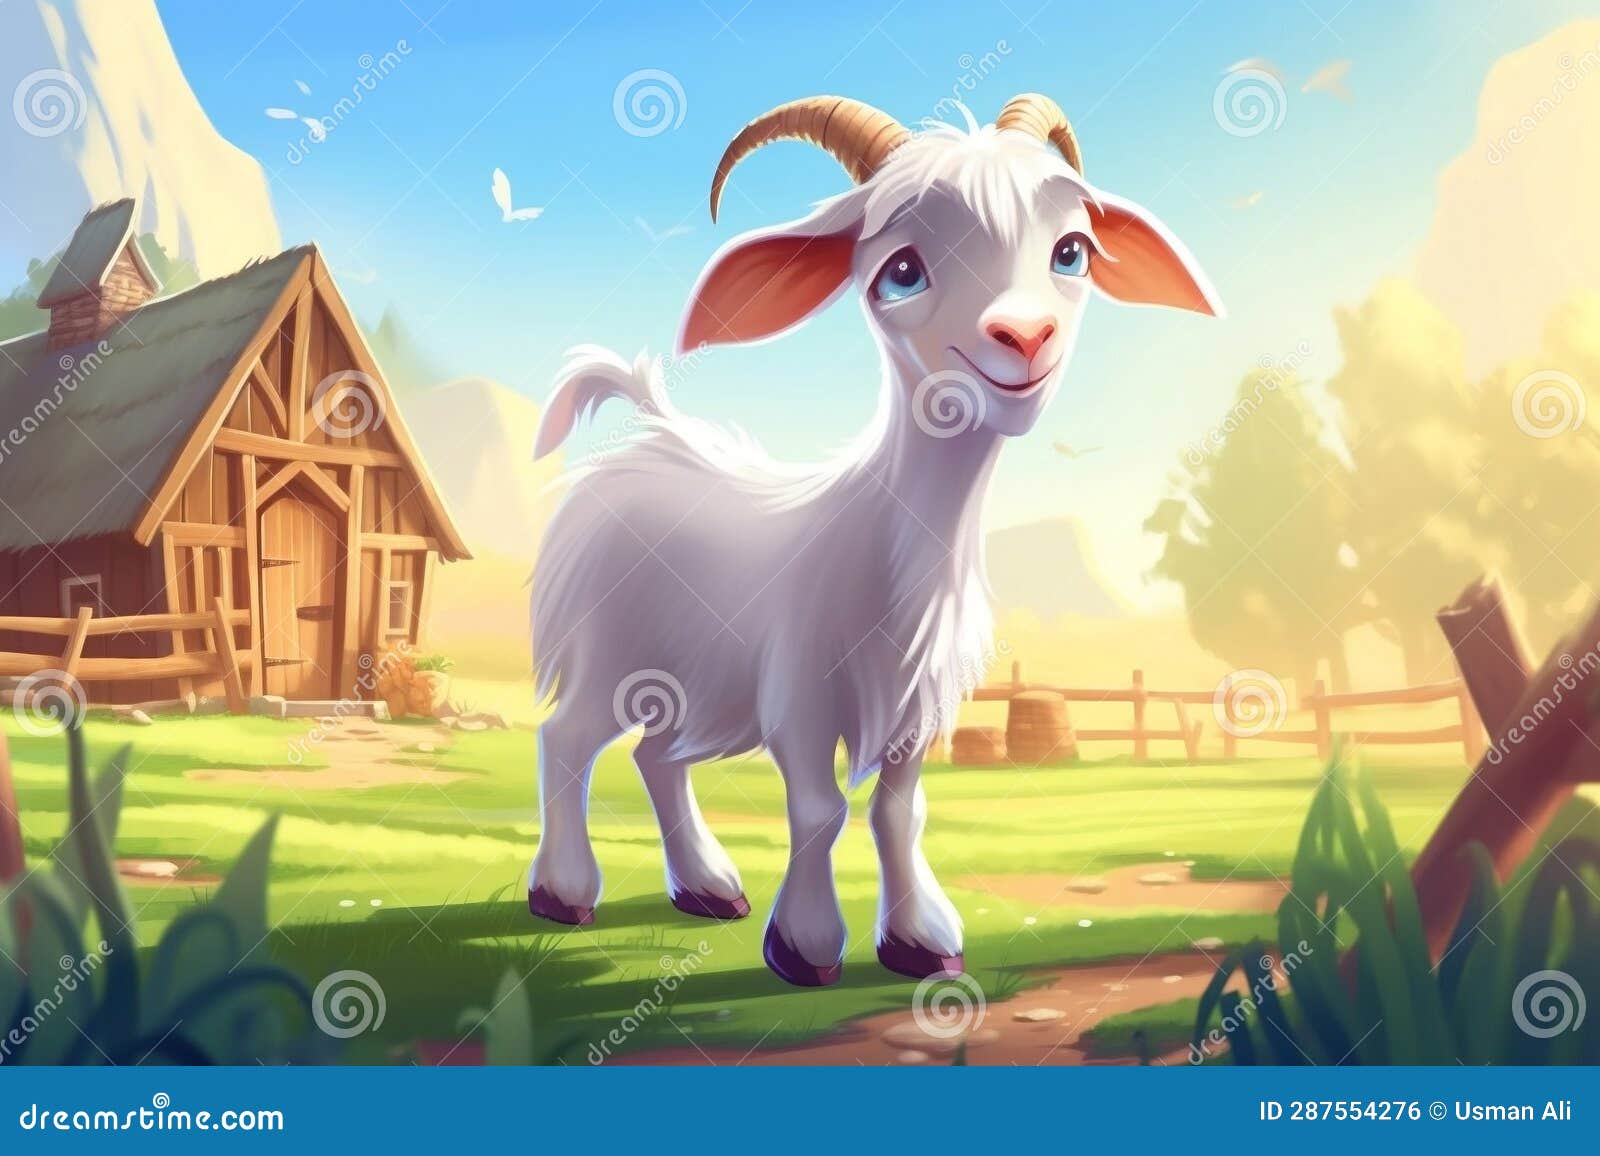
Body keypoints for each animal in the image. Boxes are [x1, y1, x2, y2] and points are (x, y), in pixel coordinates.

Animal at [527, 94, 1221, 986]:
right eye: (902, 270)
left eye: (1071, 253)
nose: (1026, 337)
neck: (885, 538)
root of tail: (652, 431)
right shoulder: (798, 690)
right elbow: (820, 809)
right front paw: (806, 945)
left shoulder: (912, 705)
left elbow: (900, 812)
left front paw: (919, 939)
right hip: (610, 646)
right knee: (568, 737)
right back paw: (563, 890)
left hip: (691, 672)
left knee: (658, 756)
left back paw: (708, 885)